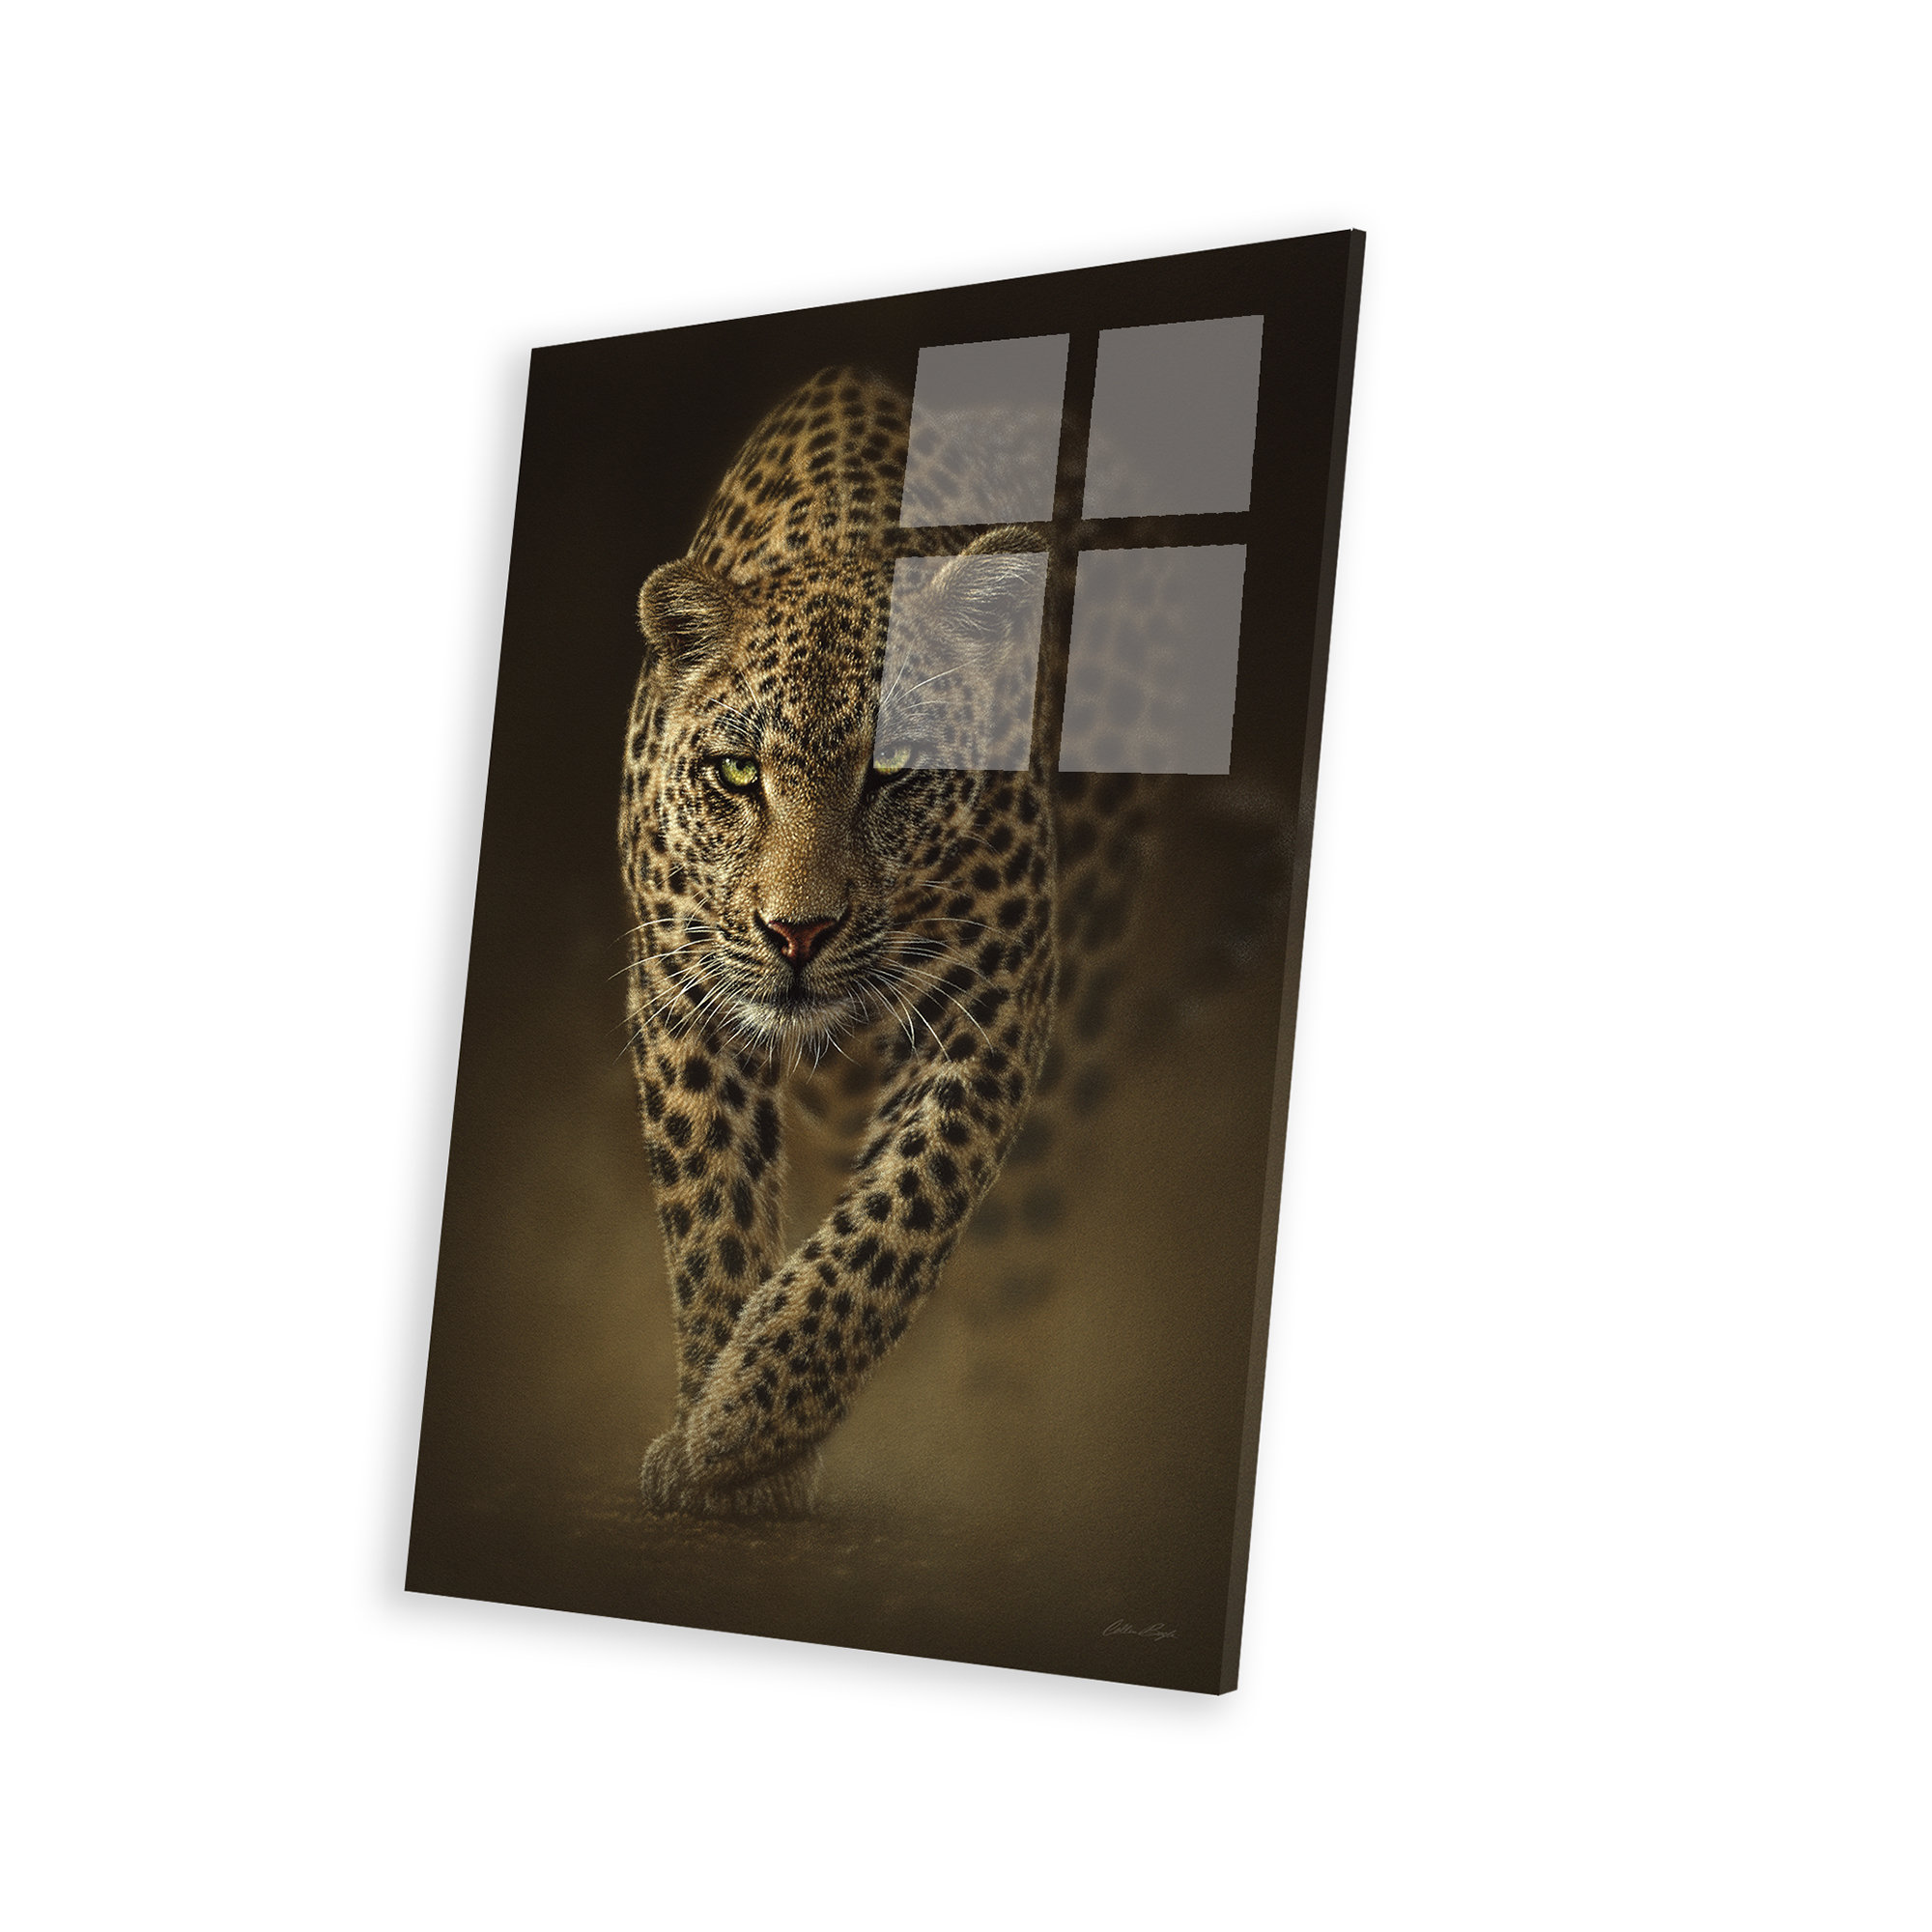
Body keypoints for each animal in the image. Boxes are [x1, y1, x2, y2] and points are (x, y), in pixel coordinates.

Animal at [617, 365, 1154, 1517]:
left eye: (894, 770)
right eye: (737, 773)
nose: (797, 932)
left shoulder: (994, 1004)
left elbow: (893, 1225)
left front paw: (746, 1427)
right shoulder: (677, 991)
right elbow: (711, 1212)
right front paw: (718, 1438)